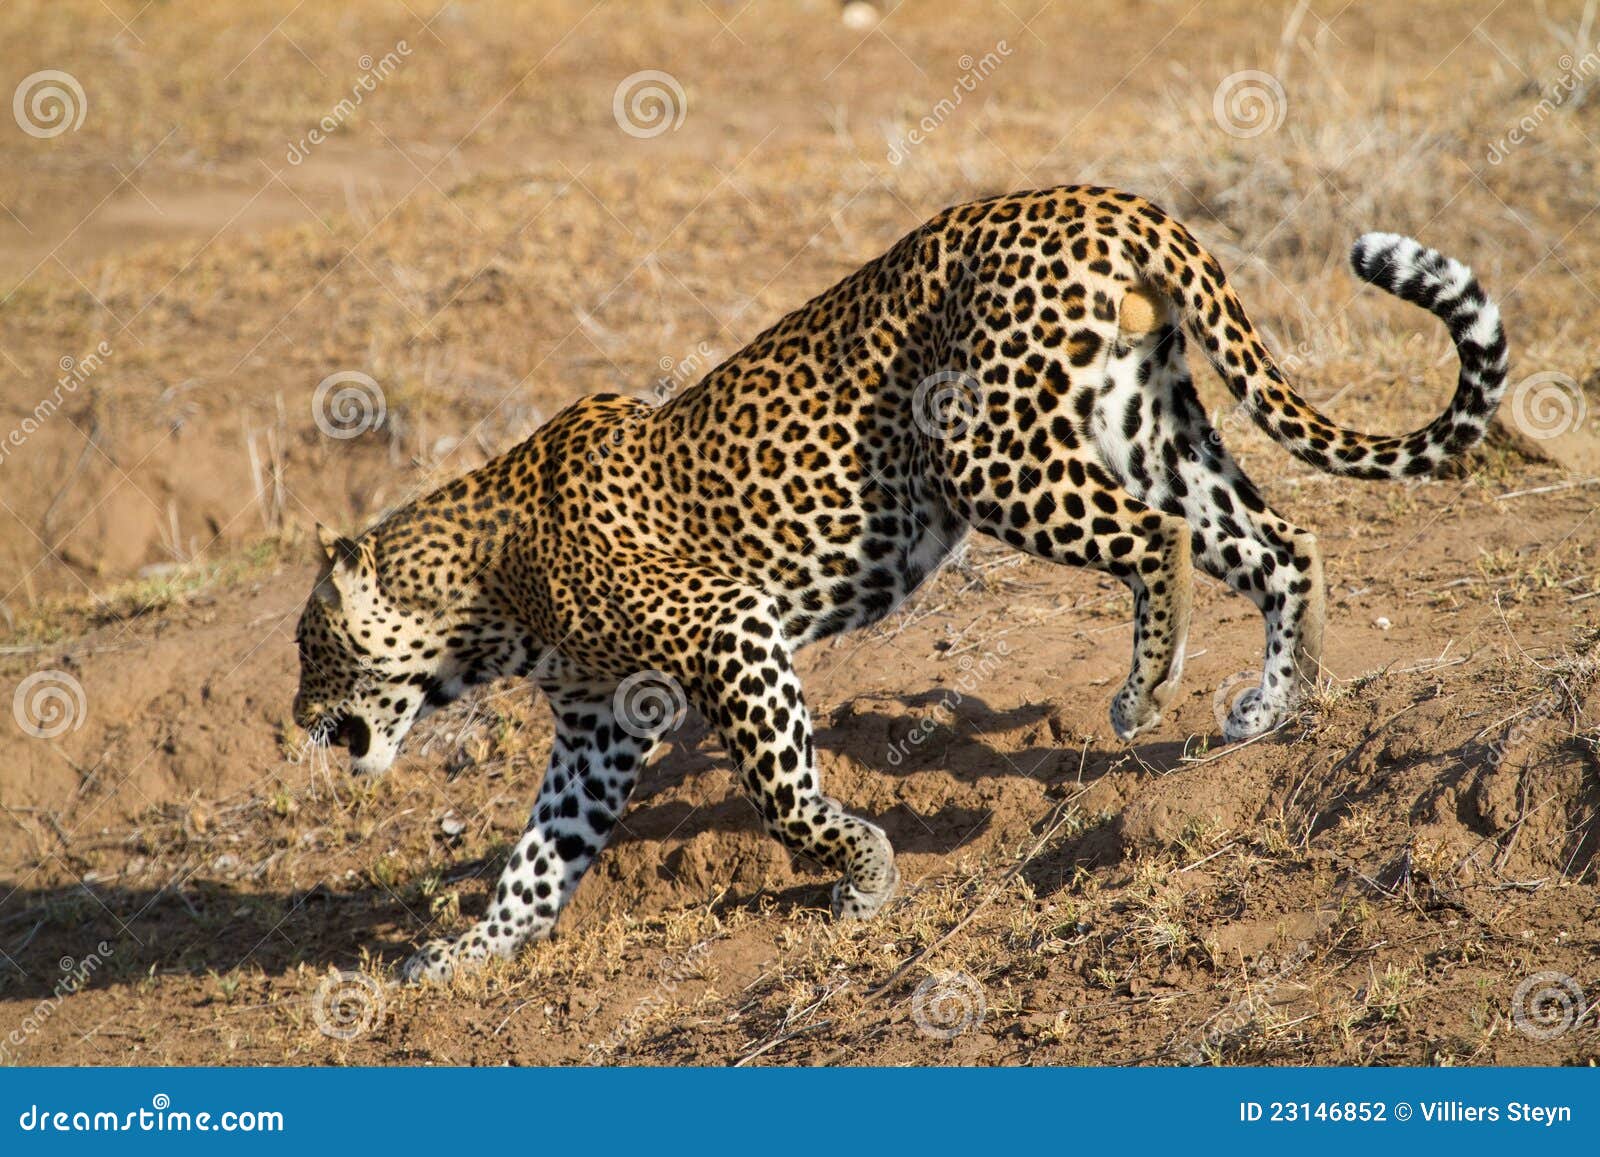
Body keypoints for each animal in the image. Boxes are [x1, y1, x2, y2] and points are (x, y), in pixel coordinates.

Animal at [291, 185, 1507, 983]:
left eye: (310, 651)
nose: (297, 720)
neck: (489, 607)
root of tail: (1103, 198)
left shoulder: (729, 631)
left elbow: (780, 793)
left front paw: (863, 872)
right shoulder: (598, 725)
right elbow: (539, 860)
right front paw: (456, 956)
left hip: (994, 457)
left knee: (1157, 537)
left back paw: (1146, 692)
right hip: (1147, 416)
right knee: (1280, 537)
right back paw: (1273, 705)